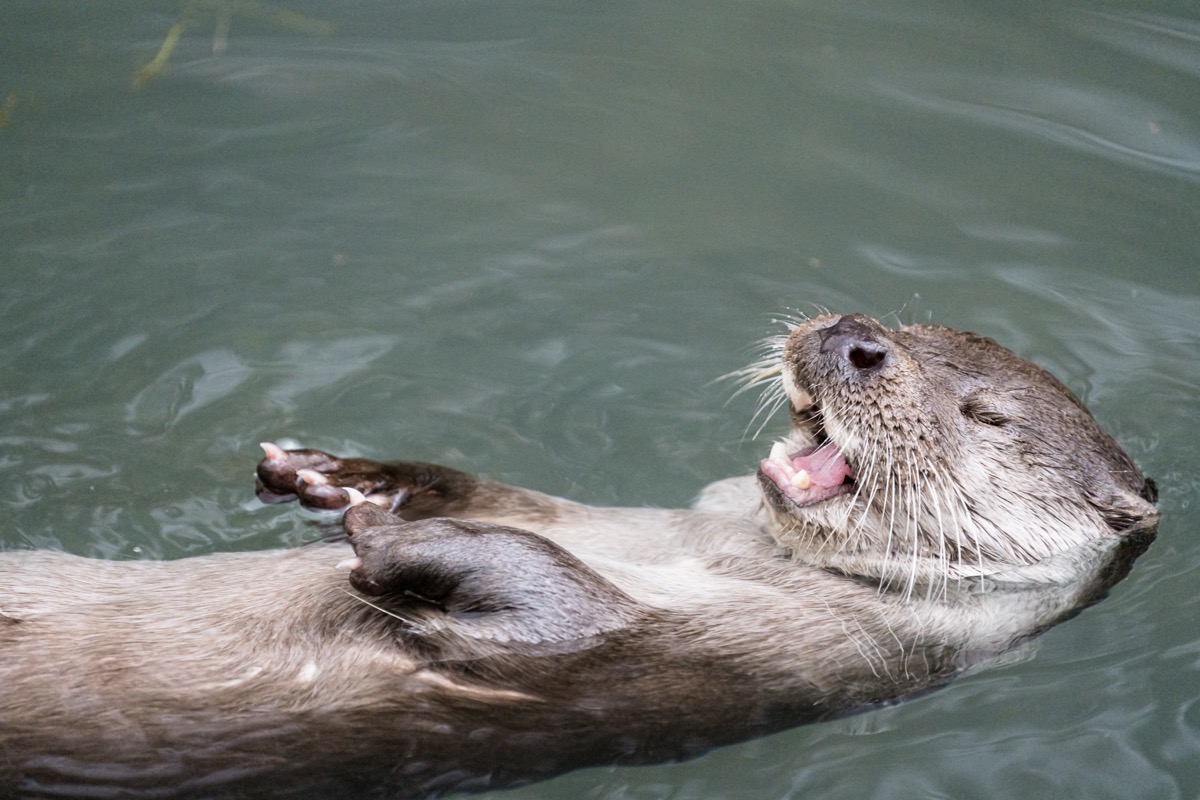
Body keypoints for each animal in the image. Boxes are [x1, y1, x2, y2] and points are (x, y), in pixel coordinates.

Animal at [0, 313, 1158, 799]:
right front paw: (339, 479)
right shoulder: (608, 520)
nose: (856, 335)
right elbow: (509, 503)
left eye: (987, 412)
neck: (728, 563)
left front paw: (383, 538)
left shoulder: (723, 664)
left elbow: (557, 615)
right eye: (911, 323)